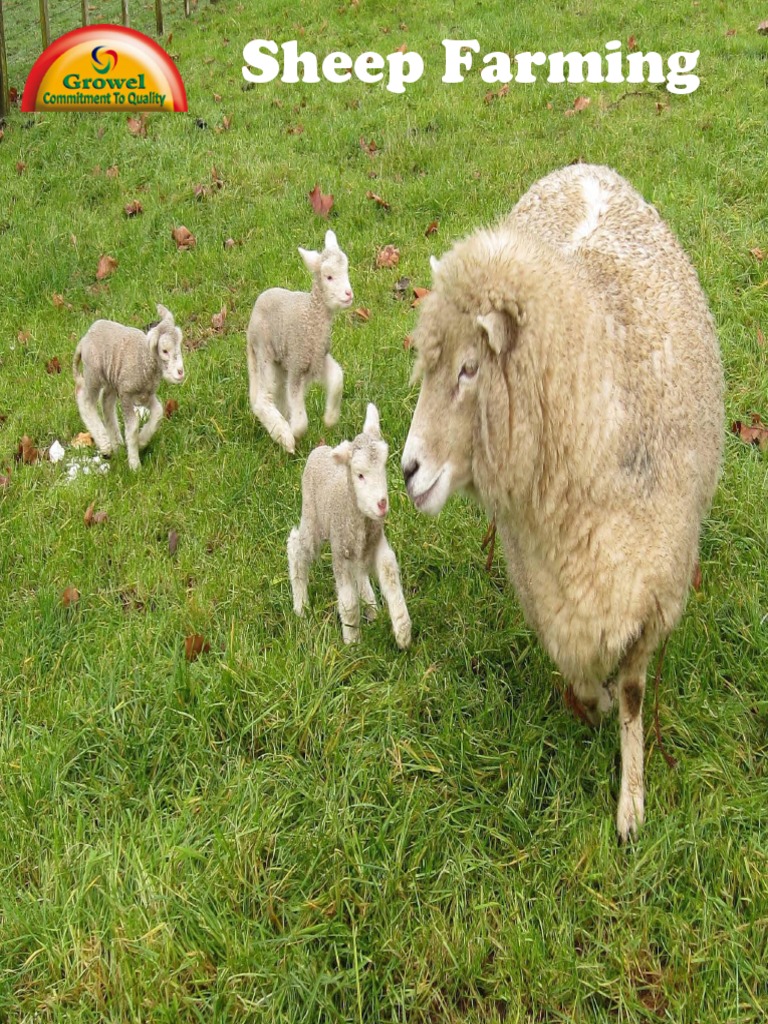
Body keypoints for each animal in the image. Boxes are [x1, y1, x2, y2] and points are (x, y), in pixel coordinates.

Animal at [73, 304, 185, 471]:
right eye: (164, 351)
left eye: (179, 345)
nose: (180, 372)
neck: (144, 359)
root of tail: (85, 338)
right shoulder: (126, 394)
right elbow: (132, 427)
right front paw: (134, 465)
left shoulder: (145, 395)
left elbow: (158, 412)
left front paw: (142, 441)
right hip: (93, 373)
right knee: (85, 400)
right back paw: (105, 444)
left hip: (112, 379)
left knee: (106, 403)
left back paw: (117, 444)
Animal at [246, 229, 353, 453]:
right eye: (329, 277)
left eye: (346, 270)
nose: (349, 294)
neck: (311, 317)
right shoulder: (297, 364)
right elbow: (301, 418)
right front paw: (295, 432)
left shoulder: (318, 360)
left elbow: (337, 379)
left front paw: (330, 419)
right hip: (264, 351)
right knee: (262, 399)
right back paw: (283, 435)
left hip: (280, 362)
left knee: (277, 393)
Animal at [288, 403, 412, 649]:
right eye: (360, 475)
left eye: (383, 467)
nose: (382, 504)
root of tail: (320, 451)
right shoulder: (340, 553)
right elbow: (348, 602)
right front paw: (352, 642)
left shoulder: (377, 545)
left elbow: (390, 580)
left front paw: (403, 632)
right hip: (312, 517)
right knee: (297, 548)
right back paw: (301, 606)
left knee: (360, 574)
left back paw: (372, 609)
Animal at [401, 163, 724, 840]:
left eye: (470, 369)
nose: (408, 470)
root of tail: (582, 168)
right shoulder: (548, 593)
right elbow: (581, 673)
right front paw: (591, 706)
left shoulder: (652, 593)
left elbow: (631, 694)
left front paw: (631, 805)